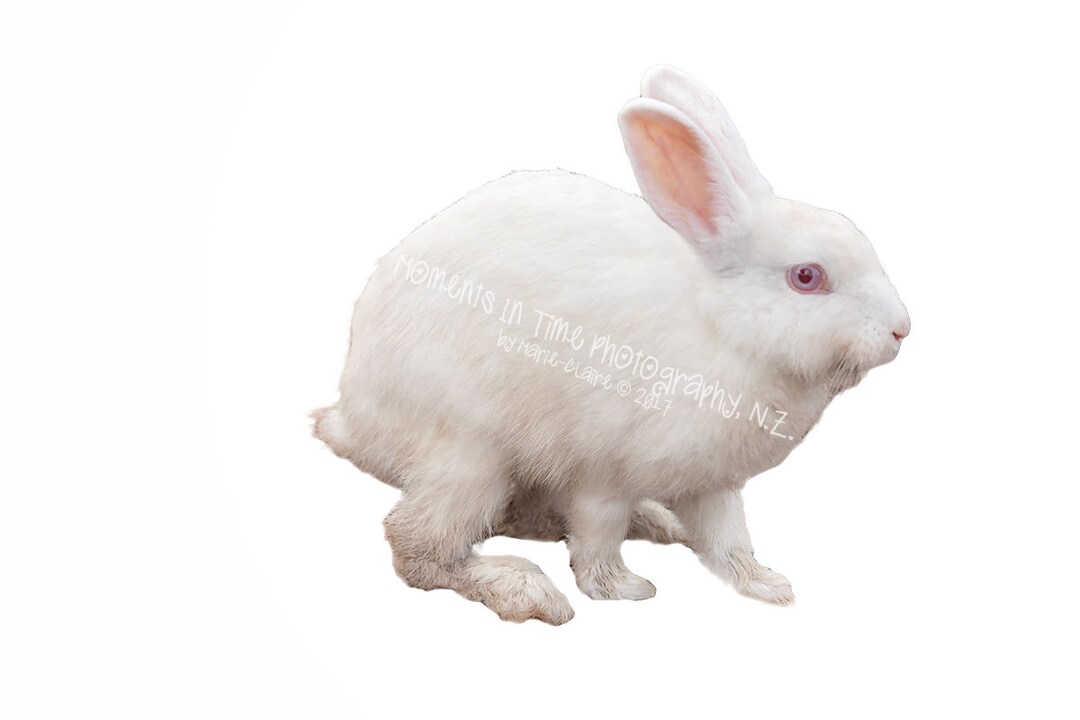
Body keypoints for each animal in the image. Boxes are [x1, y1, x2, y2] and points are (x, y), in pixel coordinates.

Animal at [313, 65, 909, 625]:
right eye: (807, 277)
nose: (902, 328)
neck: (720, 329)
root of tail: (353, 419)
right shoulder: (602, 472)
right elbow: (598, 534)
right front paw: (620, 587)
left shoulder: (713, 485)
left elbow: (728, 539)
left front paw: (766, 585)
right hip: (469, 457)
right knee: (417, 545)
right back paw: (522, 589)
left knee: (515, 520)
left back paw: (656, 521)